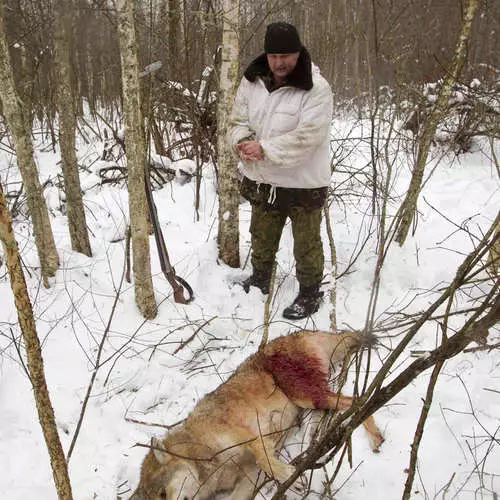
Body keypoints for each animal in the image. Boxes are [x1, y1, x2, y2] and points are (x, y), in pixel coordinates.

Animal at [129, 330, 382, 498]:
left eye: (163, 494)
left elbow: (266, 461)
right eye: (157, 498)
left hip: (307, 396)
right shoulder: (249, 476)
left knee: (359, 400)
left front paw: (291, 477)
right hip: (315, 401)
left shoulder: (251, 437)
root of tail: (294, 335)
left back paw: (374, 436)